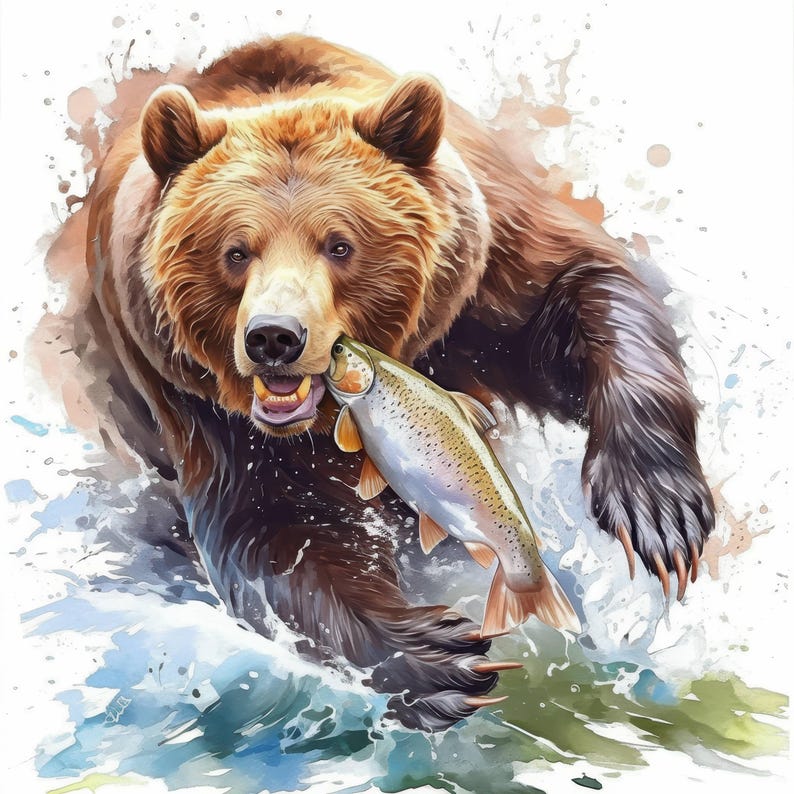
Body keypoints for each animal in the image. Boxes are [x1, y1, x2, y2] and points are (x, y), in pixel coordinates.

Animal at [55, 34, 714, 731]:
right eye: (235, 250)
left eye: (339, 244)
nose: (273, 337)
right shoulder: (201, 407)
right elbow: (275, 536)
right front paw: (438, 657)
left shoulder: (484, 275)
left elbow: (584, 291)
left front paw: (658, 509)